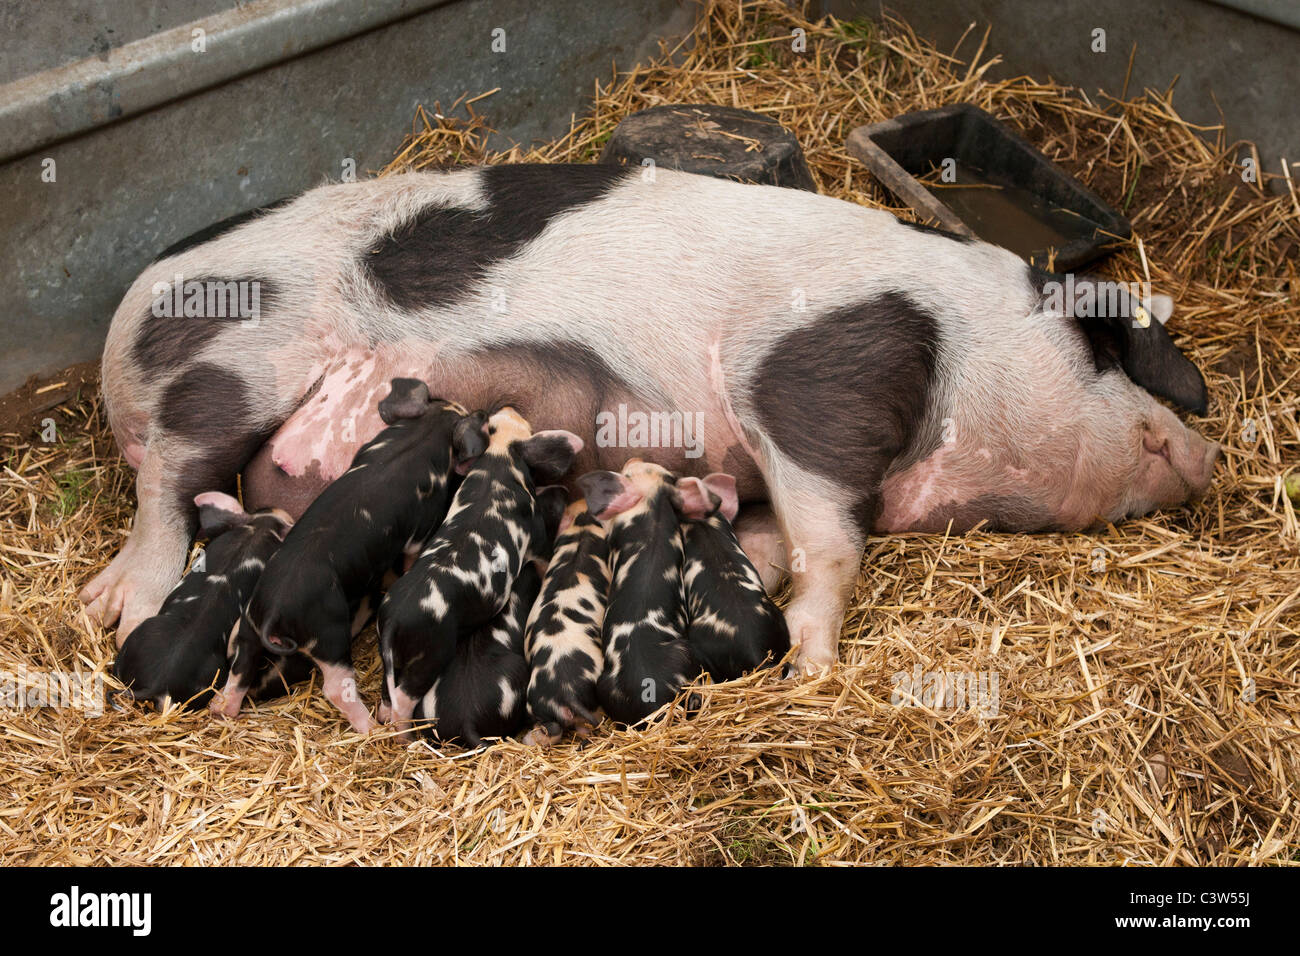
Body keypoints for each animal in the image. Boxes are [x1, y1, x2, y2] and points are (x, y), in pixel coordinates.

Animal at [212, 380, 486, 731]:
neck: (424, 435)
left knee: (239, 669)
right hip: (329, 636)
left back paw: (220, 709)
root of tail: (274, 610)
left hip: (249, 625)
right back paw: (369, 729)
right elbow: (412, 555)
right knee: (335, 688)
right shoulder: (419, 531)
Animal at [523, 498, 611, 744]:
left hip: (537, 704)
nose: (581, 499)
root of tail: (566, 691)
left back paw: (528, 739)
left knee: (552, 729)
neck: (582, 529)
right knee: (584, 726)